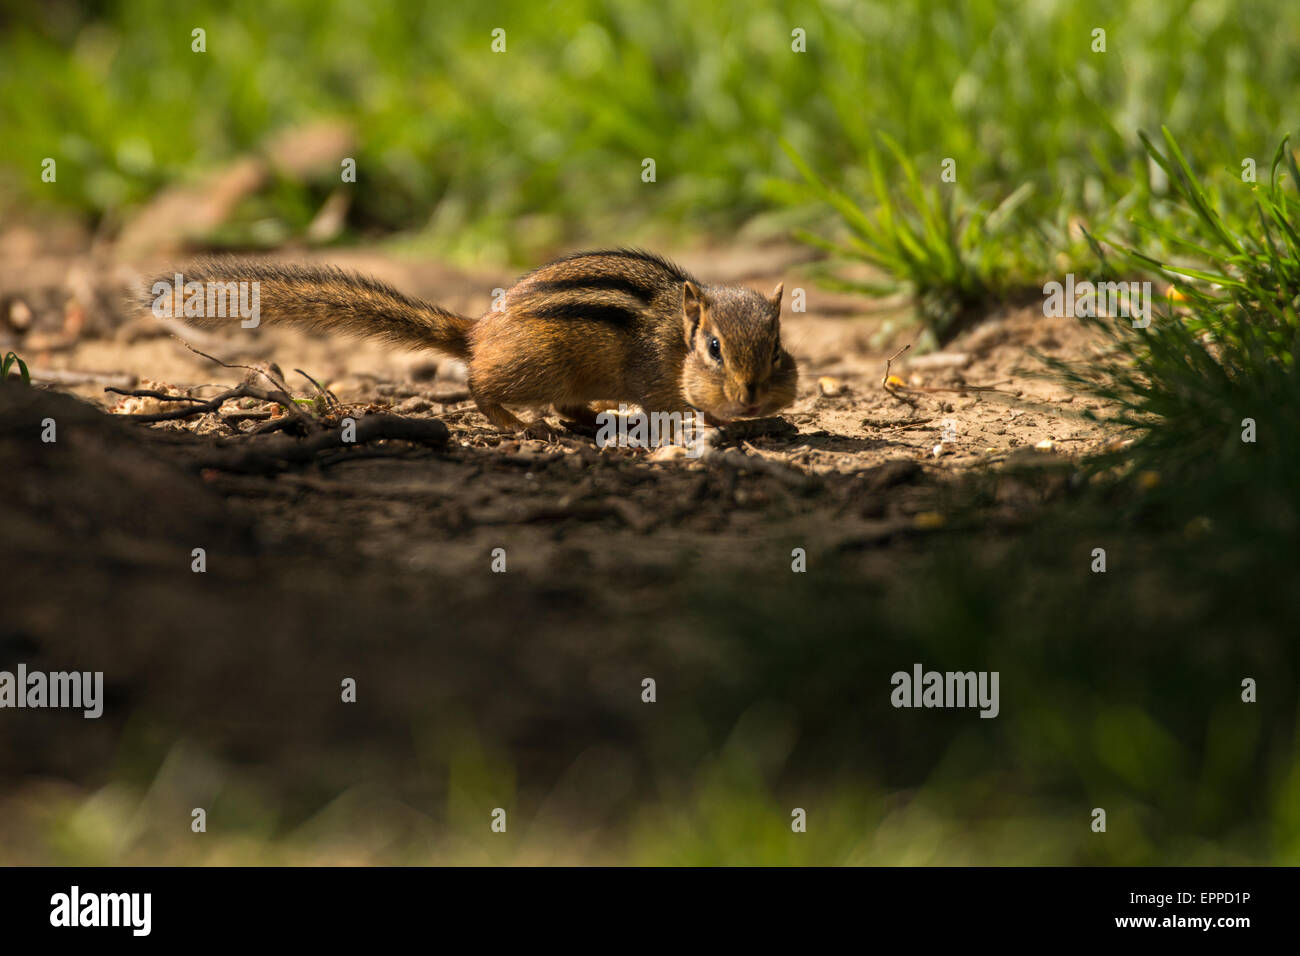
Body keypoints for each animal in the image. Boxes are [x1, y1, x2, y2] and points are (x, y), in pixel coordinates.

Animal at [151, 249, 798, 435]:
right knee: (478, 386)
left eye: (777, 350)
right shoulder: (652, 377)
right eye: (713, 349)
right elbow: (675, 407)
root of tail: (478, 330)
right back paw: (519, 425)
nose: (750, 398)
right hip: (538, 365)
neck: (673, 338)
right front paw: (714, 423)